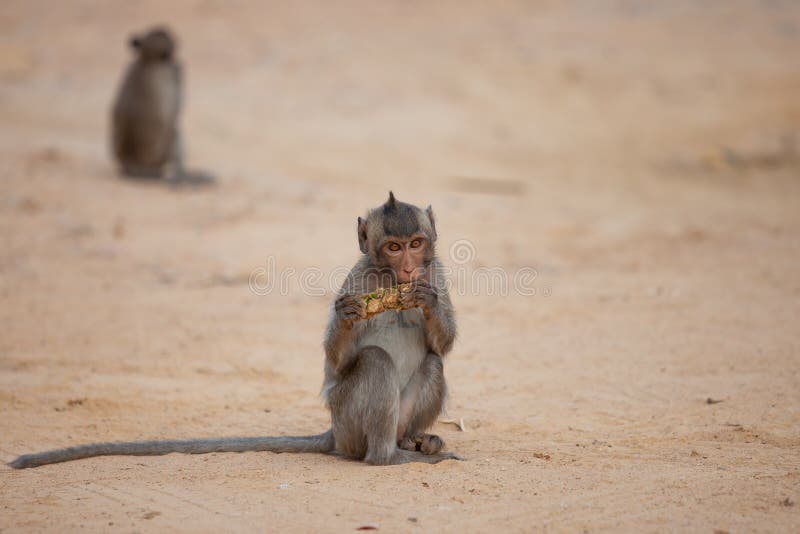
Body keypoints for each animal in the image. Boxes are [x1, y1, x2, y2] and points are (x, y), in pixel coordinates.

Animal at [8, 193, 460, 469]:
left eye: (416, 243)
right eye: (393, 247)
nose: (409, 269)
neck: (389, 280)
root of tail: (334, 434)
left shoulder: (436, 272)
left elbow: (443, 343)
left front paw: (425, 301)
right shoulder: (358, 279)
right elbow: (340, 361)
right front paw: (349, 317)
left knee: (433, 364)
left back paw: (414, 441)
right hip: (348, 421)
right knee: (375, 361)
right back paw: (390, 456)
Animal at [111, 26, 212, 184]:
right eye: (167, 35)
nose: (176, 40)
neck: (147, 60)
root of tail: (131, 163)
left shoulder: (130, 68)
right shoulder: (172, 71)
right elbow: (174, 112)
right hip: (159, 156)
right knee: (175, 132)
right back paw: (183, 177)